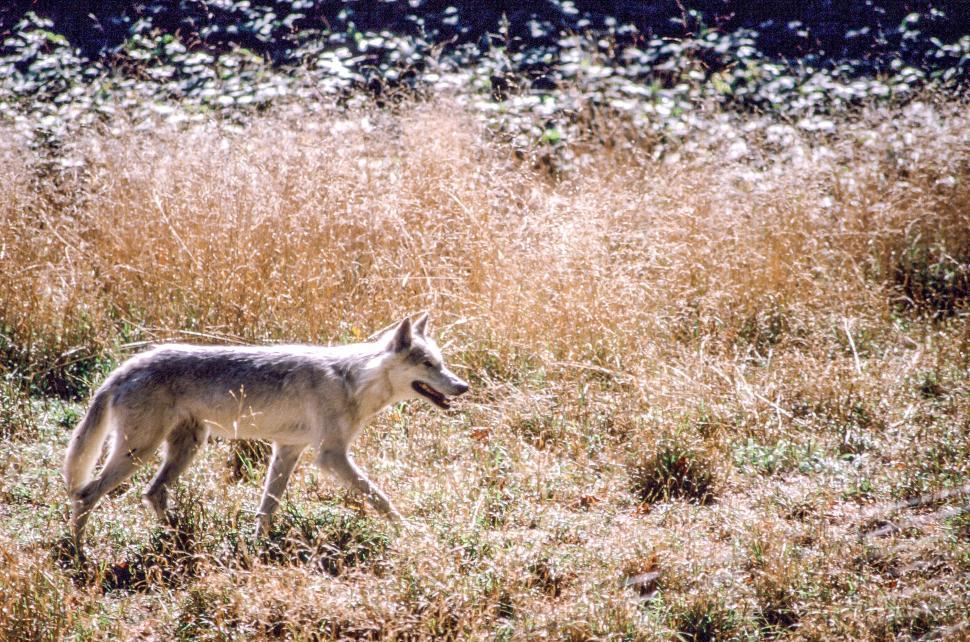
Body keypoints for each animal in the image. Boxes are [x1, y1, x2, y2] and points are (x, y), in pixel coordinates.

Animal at [63, 313, 468, 549]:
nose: (462, 387)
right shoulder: (331, 457)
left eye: (441, 363)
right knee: (86, 494)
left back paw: (181, 540)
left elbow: (266, 509)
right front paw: (409, 532)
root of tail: (123, 368)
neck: (351, 380)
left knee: (151, 493)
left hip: (185, 448)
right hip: (139, 453)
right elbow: (381, 498)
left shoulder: (287, 450)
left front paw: (257, 549)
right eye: (428, 365)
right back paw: (81, 554)